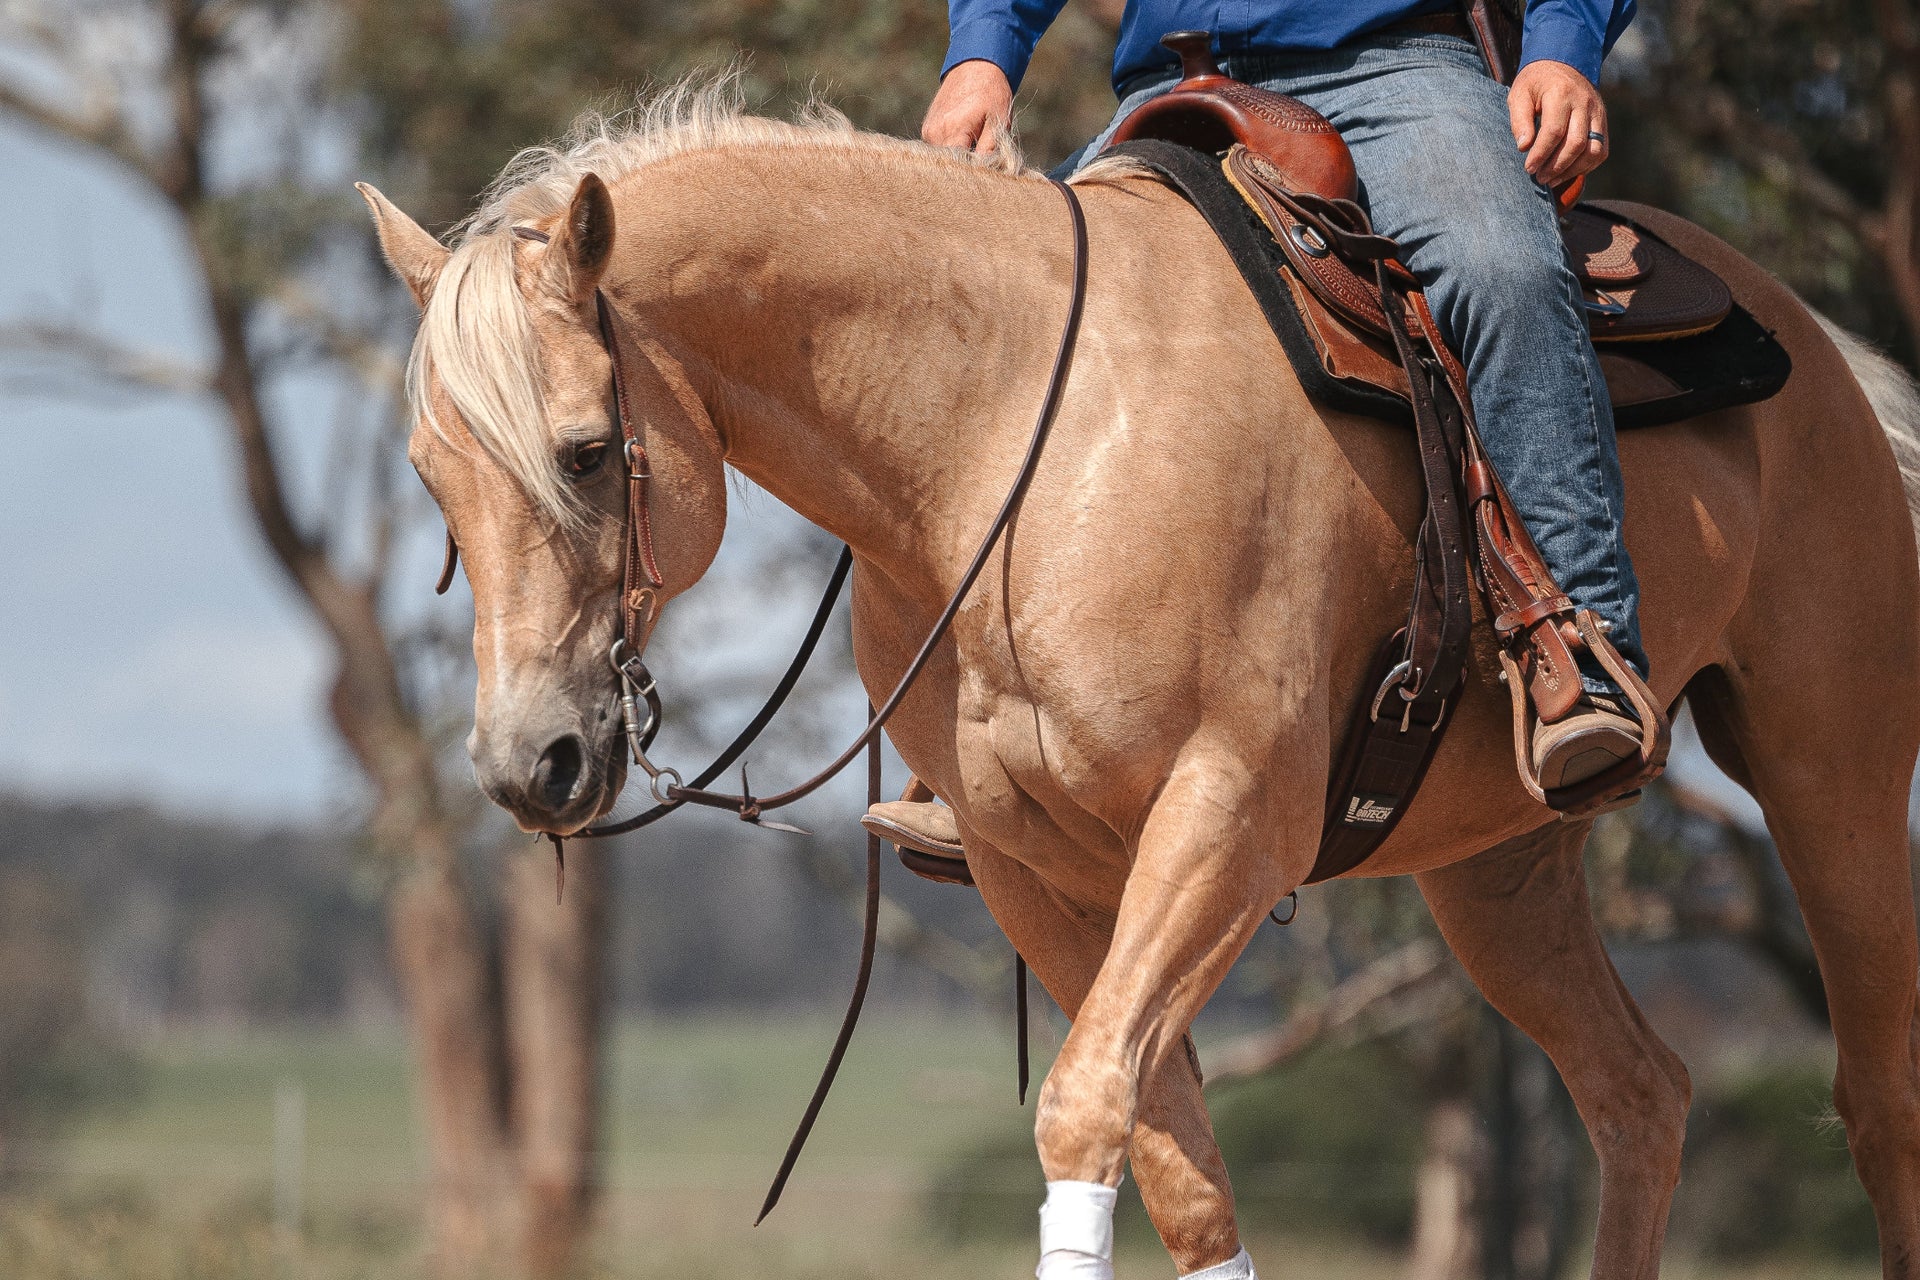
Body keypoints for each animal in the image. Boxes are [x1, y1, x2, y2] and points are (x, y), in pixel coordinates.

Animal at [358, 82, 1920, 1279]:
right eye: (428, 477)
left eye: (581, 452)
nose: (528, 764)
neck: (1008, 439)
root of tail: (1827, 353)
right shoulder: (1034, 869)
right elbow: (1174, 1157)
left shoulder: (1229, 820)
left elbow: (1087, 1106)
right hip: (1502, 870)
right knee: (1639, 1094)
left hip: (1831, 777)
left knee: (1878, 1096)